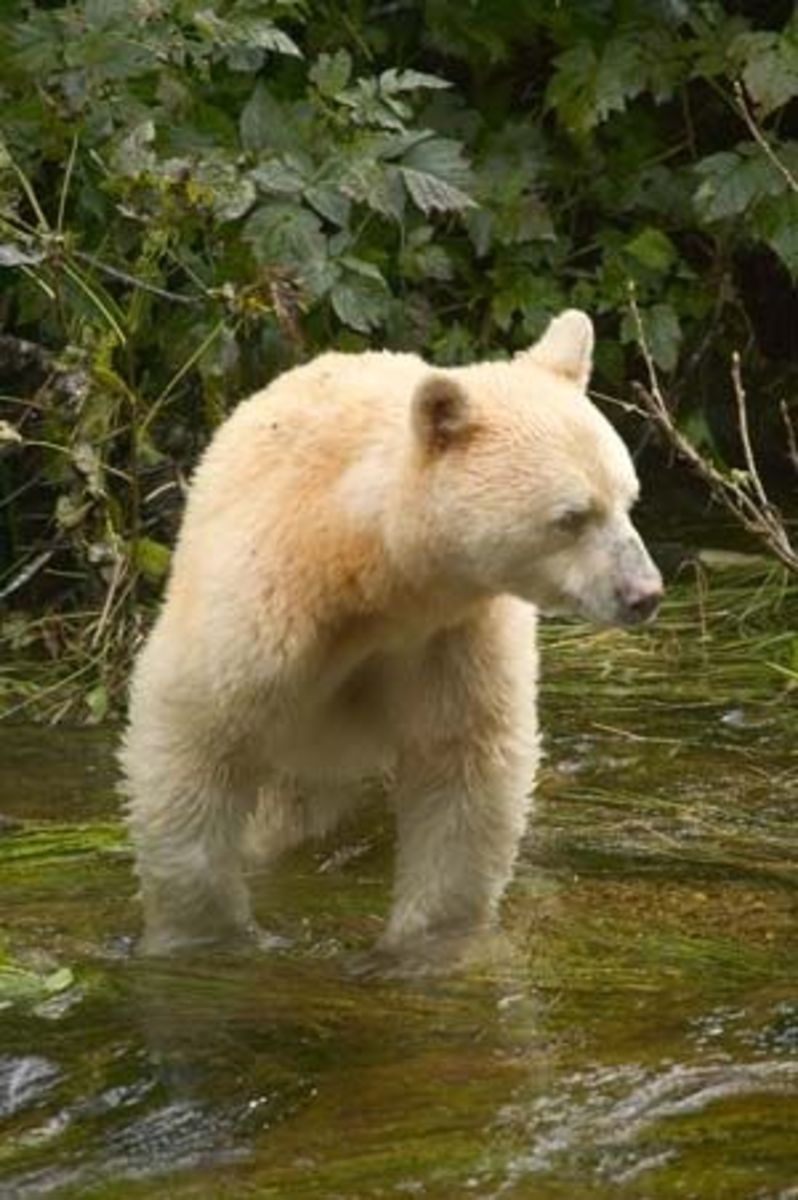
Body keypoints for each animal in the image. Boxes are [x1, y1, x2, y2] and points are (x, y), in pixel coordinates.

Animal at [120, 310, 662, 959]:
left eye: (629, 498)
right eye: (572, 517)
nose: (644, 594)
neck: (366, 569)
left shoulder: (453, 634)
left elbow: (464, 766)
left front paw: (426, 947)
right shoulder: (263, 611)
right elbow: (194, 735)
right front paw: (206, 937)